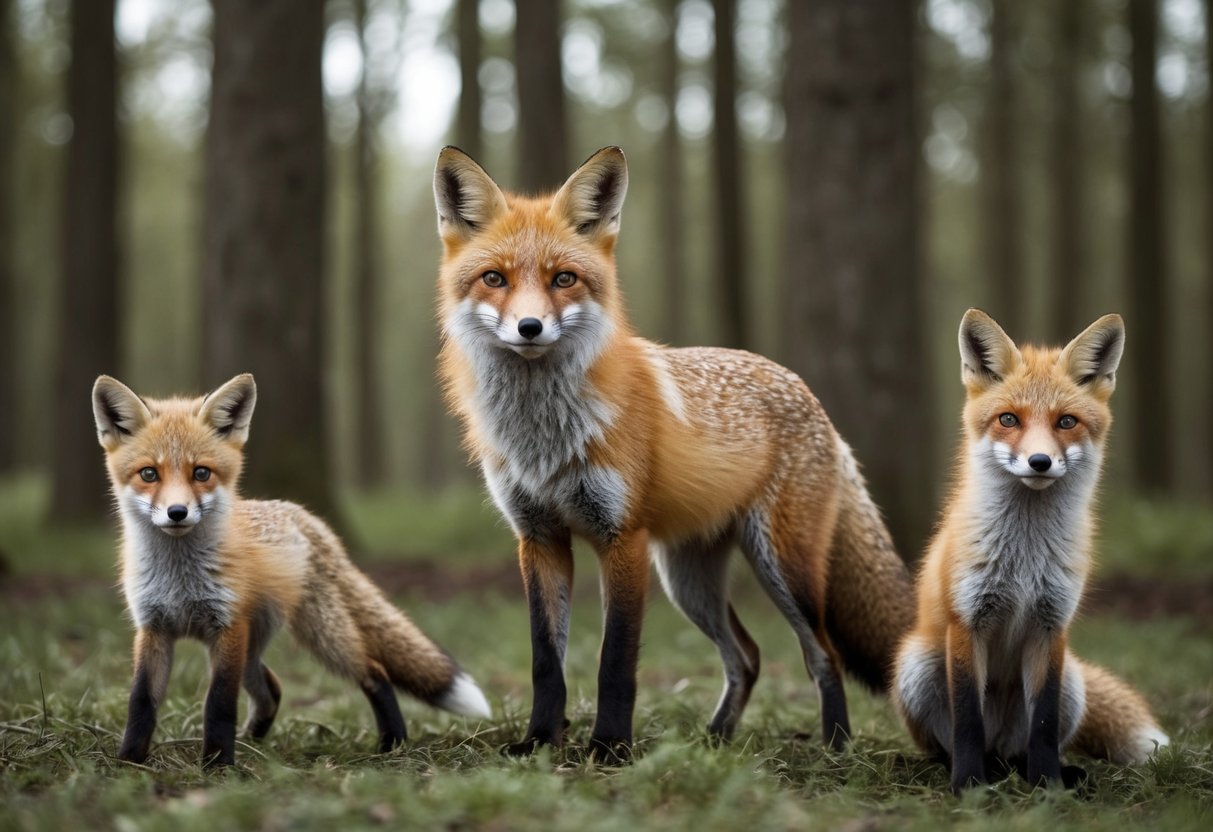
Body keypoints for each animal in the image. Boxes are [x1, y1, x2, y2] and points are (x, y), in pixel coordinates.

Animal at [92, 373, 490, 768]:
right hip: (252, 648)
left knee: (373, 672)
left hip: (320, 634)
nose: (177, 512)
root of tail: (302, 515)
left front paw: (218, 765)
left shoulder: (228, 627)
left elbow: (219, 704)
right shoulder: (153, 628)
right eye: (149, 474)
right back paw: (252, 741)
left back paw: (392, 742)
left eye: (201, 472)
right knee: (273, 689)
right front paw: (129, 762)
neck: (179, 578)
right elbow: (141, 701)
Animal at [892, 310, 1169, 792]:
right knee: (954, 743)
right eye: (1008, 419)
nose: (1040, 462)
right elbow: (967, 719)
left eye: (1066, 422)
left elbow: (1043, 723)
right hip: (918, 663)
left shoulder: (1050, 625)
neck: (1024, 558)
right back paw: (957, 768)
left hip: (1073, 681)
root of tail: (1000, 750)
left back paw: (1043, 772)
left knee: (1022, 748)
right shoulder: (967, 622)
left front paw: (1048, 787)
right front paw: (969, 787)